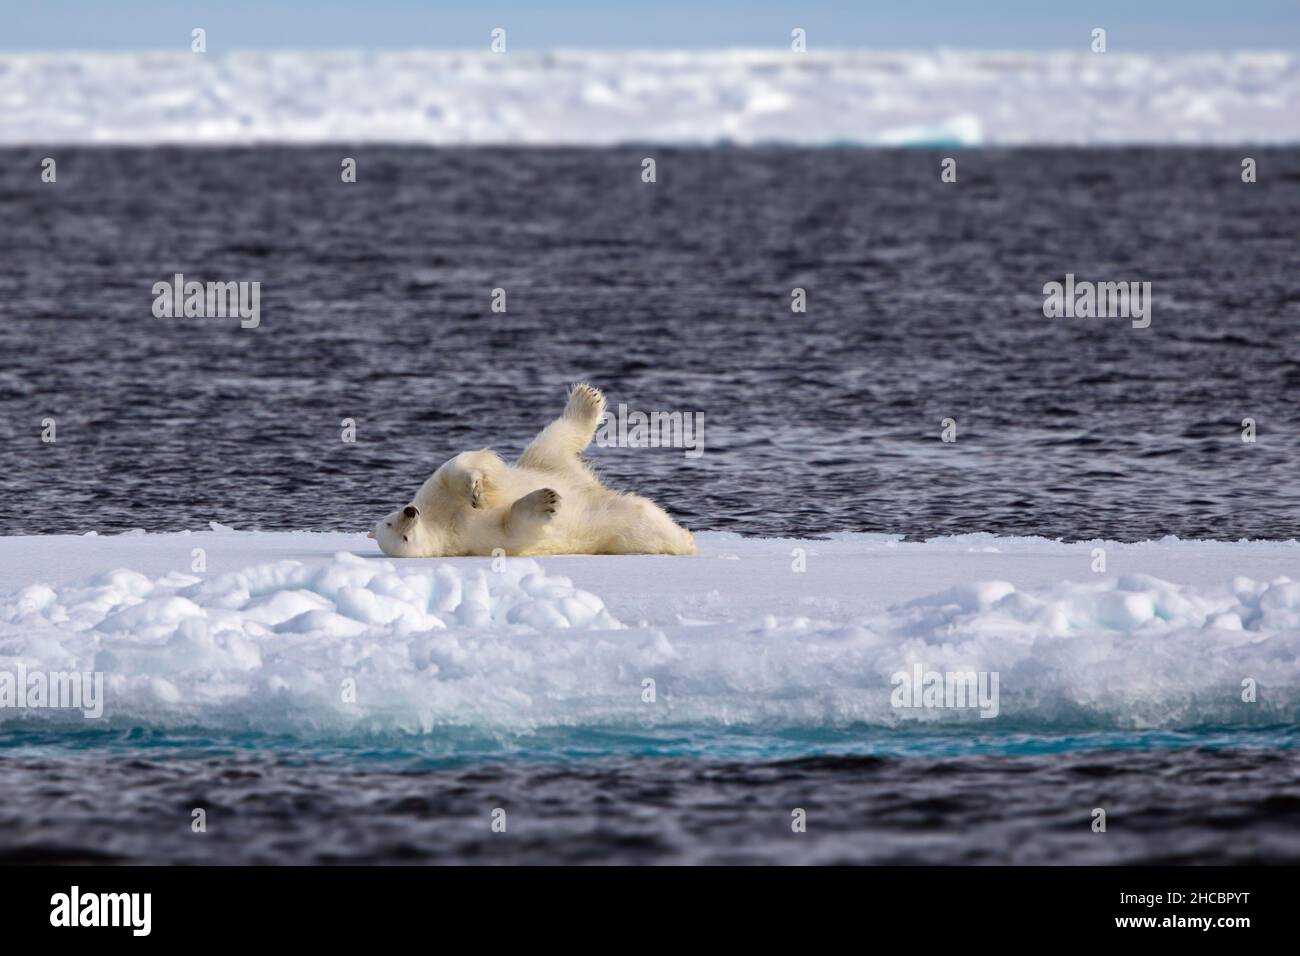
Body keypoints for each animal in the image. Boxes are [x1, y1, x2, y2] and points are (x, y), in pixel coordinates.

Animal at [367, 383, 697, 558]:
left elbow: (454, 469)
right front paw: (547, 501)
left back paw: (586, 399)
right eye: (402, 537)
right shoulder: (470, 540)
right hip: (614, 529)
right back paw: (685, 540)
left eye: (390, 520)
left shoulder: (432, 494)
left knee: (548, 443)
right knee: (644, 529)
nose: (410, 512)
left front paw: (476, 491)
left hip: (549, 466)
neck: (438, 521)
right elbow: (512, 529)